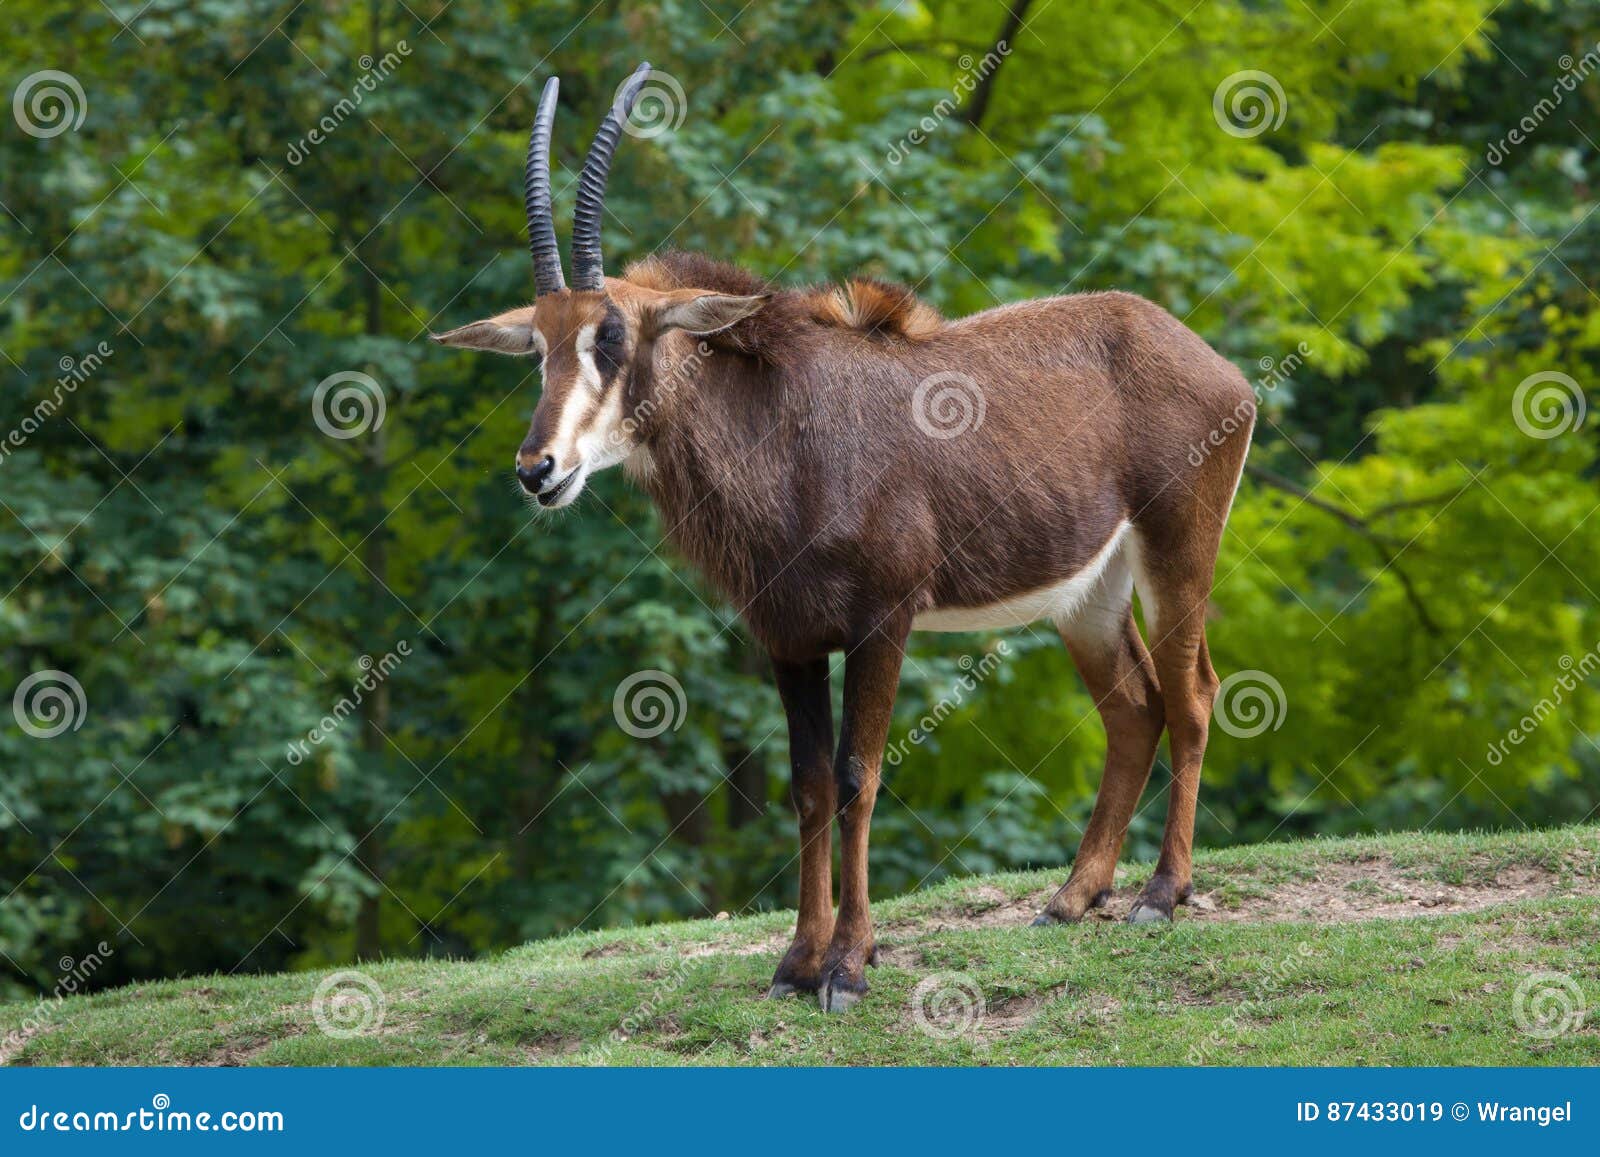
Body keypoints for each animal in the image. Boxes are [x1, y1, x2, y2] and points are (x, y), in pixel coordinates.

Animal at [434, 64, 1256, 1012]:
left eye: (611, 334)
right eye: (537, 345)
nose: (539, 468)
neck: (785, 428)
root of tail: (1215, 365)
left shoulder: (882, 621)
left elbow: (860, 777)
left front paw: (850, 965)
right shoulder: (787, 637)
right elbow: (809, 784)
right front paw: (797, 960)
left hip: (1177, 553)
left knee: (1192, 695)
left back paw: (1162, 893)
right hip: (1090, 594)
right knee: (1133, 708)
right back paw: (1071, 898)